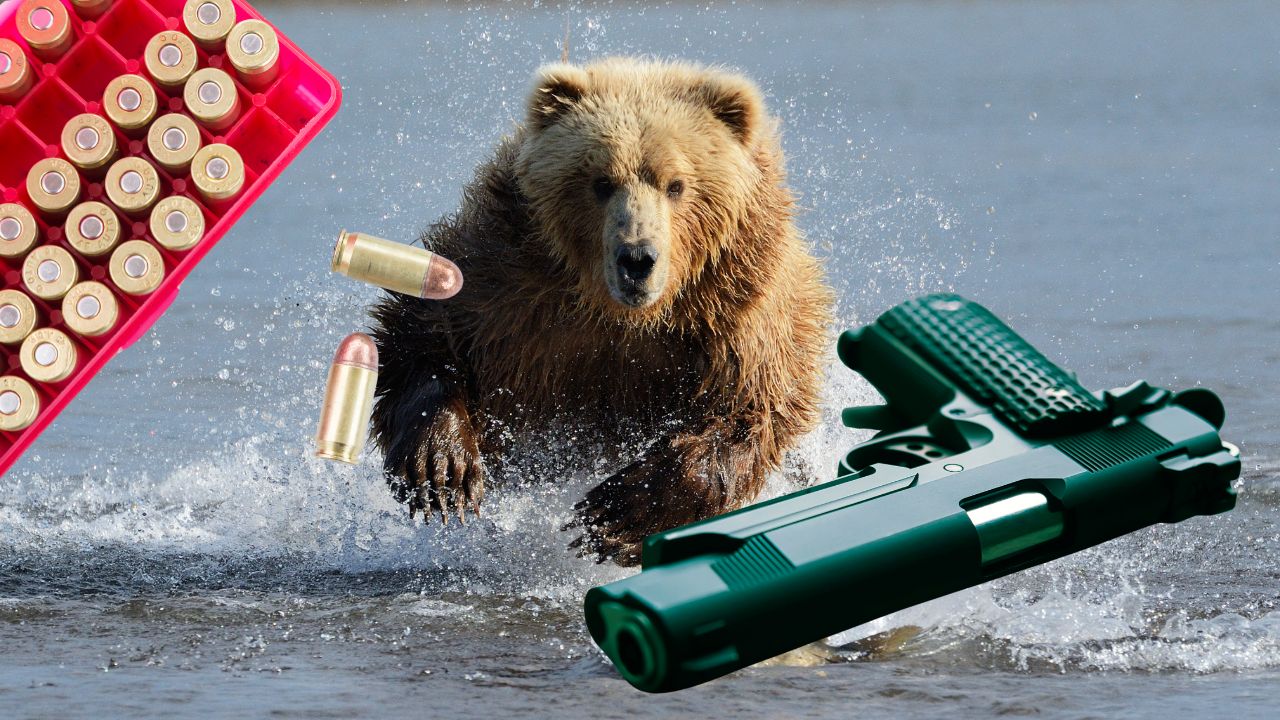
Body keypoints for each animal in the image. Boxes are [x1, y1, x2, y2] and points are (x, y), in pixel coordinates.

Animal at [369, 57, 833, 565]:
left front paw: (614, 515)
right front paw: (442, 467)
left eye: (677, 184)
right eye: (601, 182)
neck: (621, 314)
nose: (637, 258)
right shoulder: (510, 279)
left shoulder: (736, 309)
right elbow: (424, 333)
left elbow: (748, 409)